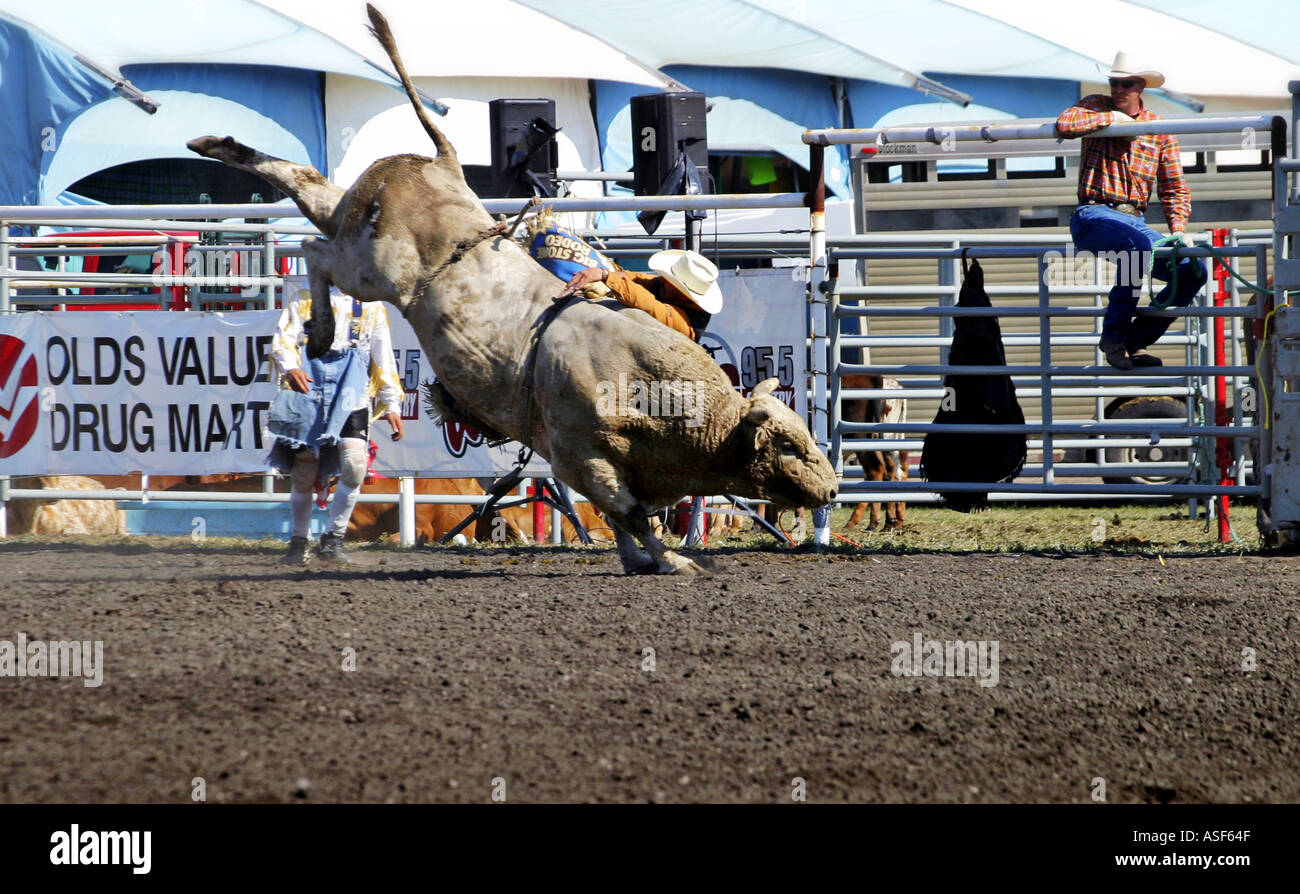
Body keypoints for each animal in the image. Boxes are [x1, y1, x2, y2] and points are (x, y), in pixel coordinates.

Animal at [187, 4, 835, 574]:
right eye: (787, 445)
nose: (831, 486)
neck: (653, 390)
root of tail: (442, 165)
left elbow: (623, 516)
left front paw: (640, 559)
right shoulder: (581, 454)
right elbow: (628, 511)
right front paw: (675, 559)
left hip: (350, 222)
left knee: (305, 186)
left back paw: (217, 146)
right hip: (370, 267)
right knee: (313, 250)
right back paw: (320, 330)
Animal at [841, 374, 909, 532]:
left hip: (862, 439)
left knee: (876, 471)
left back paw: (869, 522)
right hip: (889, 438)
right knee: (896, 471)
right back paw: (894, 521)